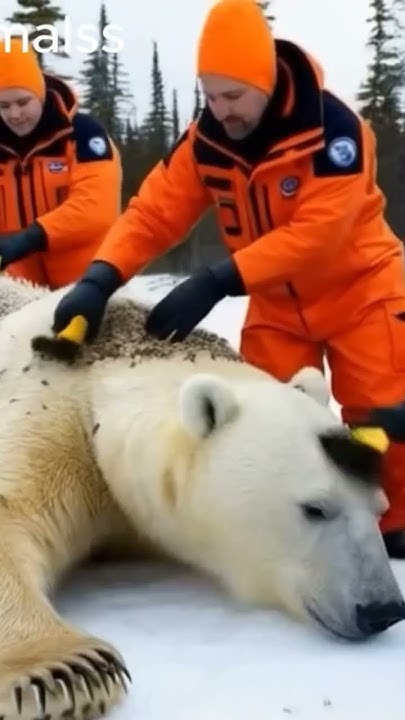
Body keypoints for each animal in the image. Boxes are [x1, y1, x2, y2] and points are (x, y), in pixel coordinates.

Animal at [0, 274, 402, 720]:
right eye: (315, 509)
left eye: (379, 508)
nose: (382, 610)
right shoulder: (54, 416)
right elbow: (11, 511)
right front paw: (66, 670)